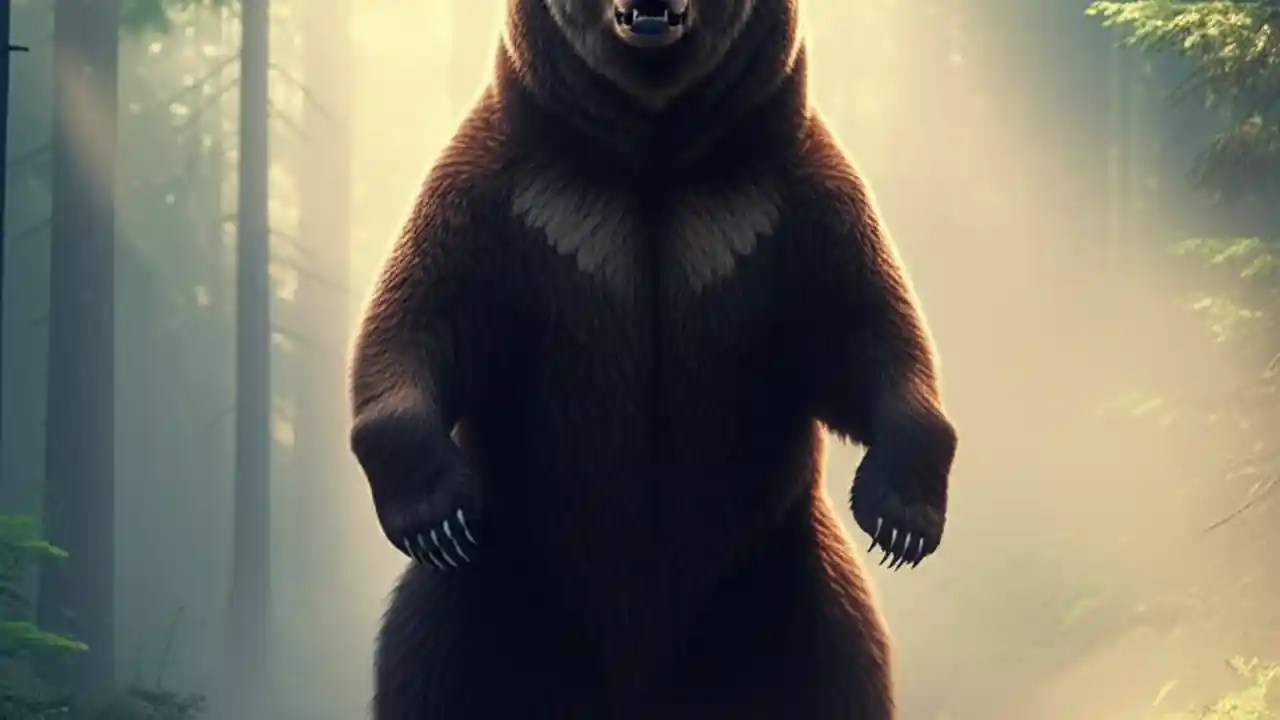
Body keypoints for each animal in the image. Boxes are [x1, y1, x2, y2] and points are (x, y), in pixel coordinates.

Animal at [348, 0, 958, 718]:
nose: (651, 10)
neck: (652, 160)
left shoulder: (776, 204)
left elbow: (864, 325)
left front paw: (903, 517)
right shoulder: (517, 197)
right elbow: (419, 312)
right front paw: (434, 515)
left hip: (784, 597)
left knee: (826, 675)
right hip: (490, 600)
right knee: (443, 673)